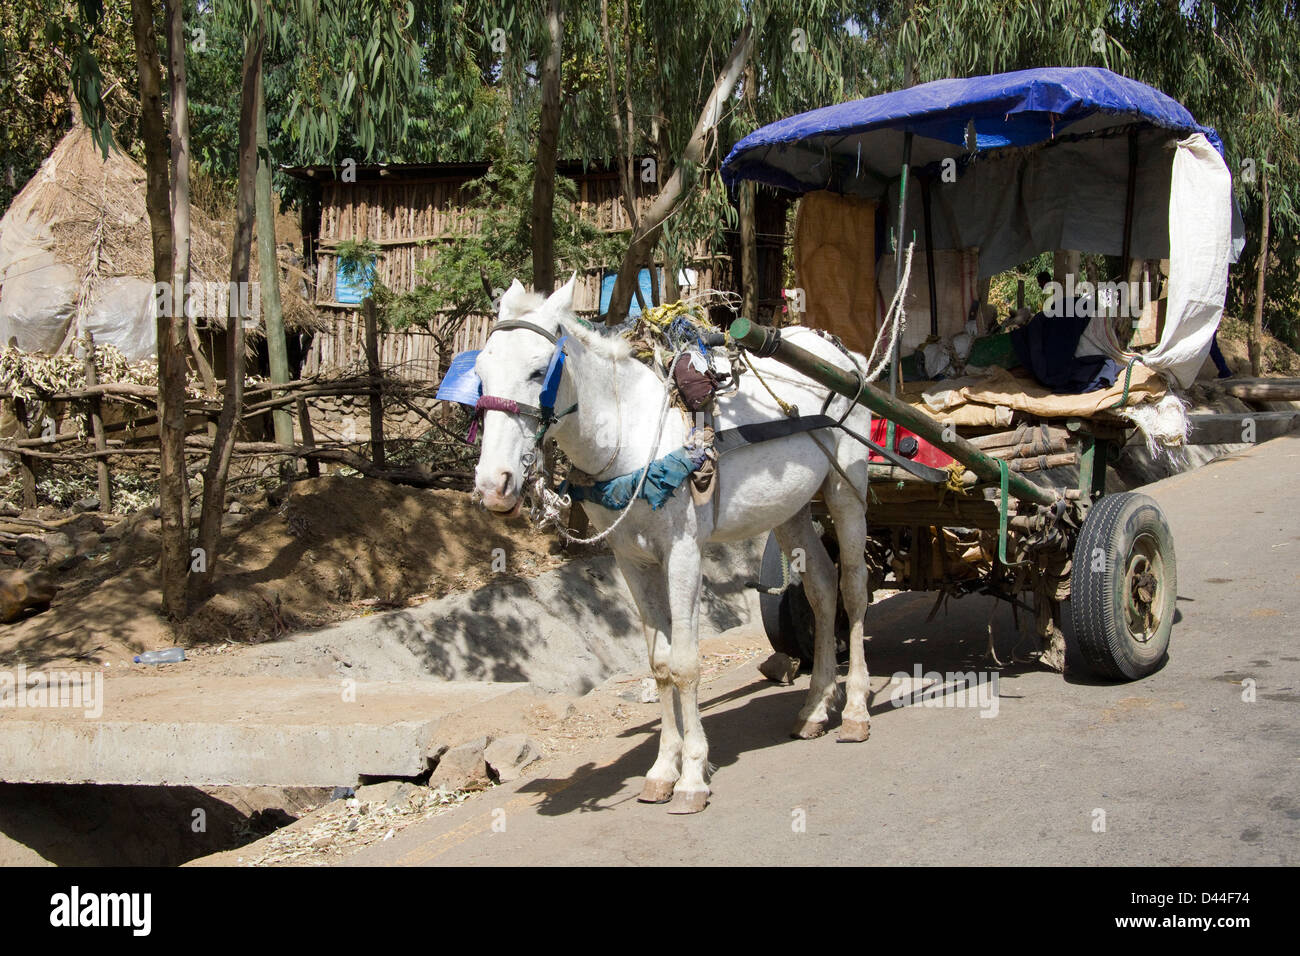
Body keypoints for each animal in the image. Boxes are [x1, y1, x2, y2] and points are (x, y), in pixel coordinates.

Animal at [470, 275, 875, 813]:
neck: (630, 434)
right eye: (479, 373)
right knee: (823, 590)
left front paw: (692, 777)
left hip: (846, 488)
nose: (494, 484)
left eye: (539, 371)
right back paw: (815, 707)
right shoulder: (631, 559)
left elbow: (685, 663)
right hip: (789, 509)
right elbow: (660, 664)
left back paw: (855, 712)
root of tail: (845, 355)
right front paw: (663, 769)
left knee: (854, 589)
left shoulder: (683, 552)